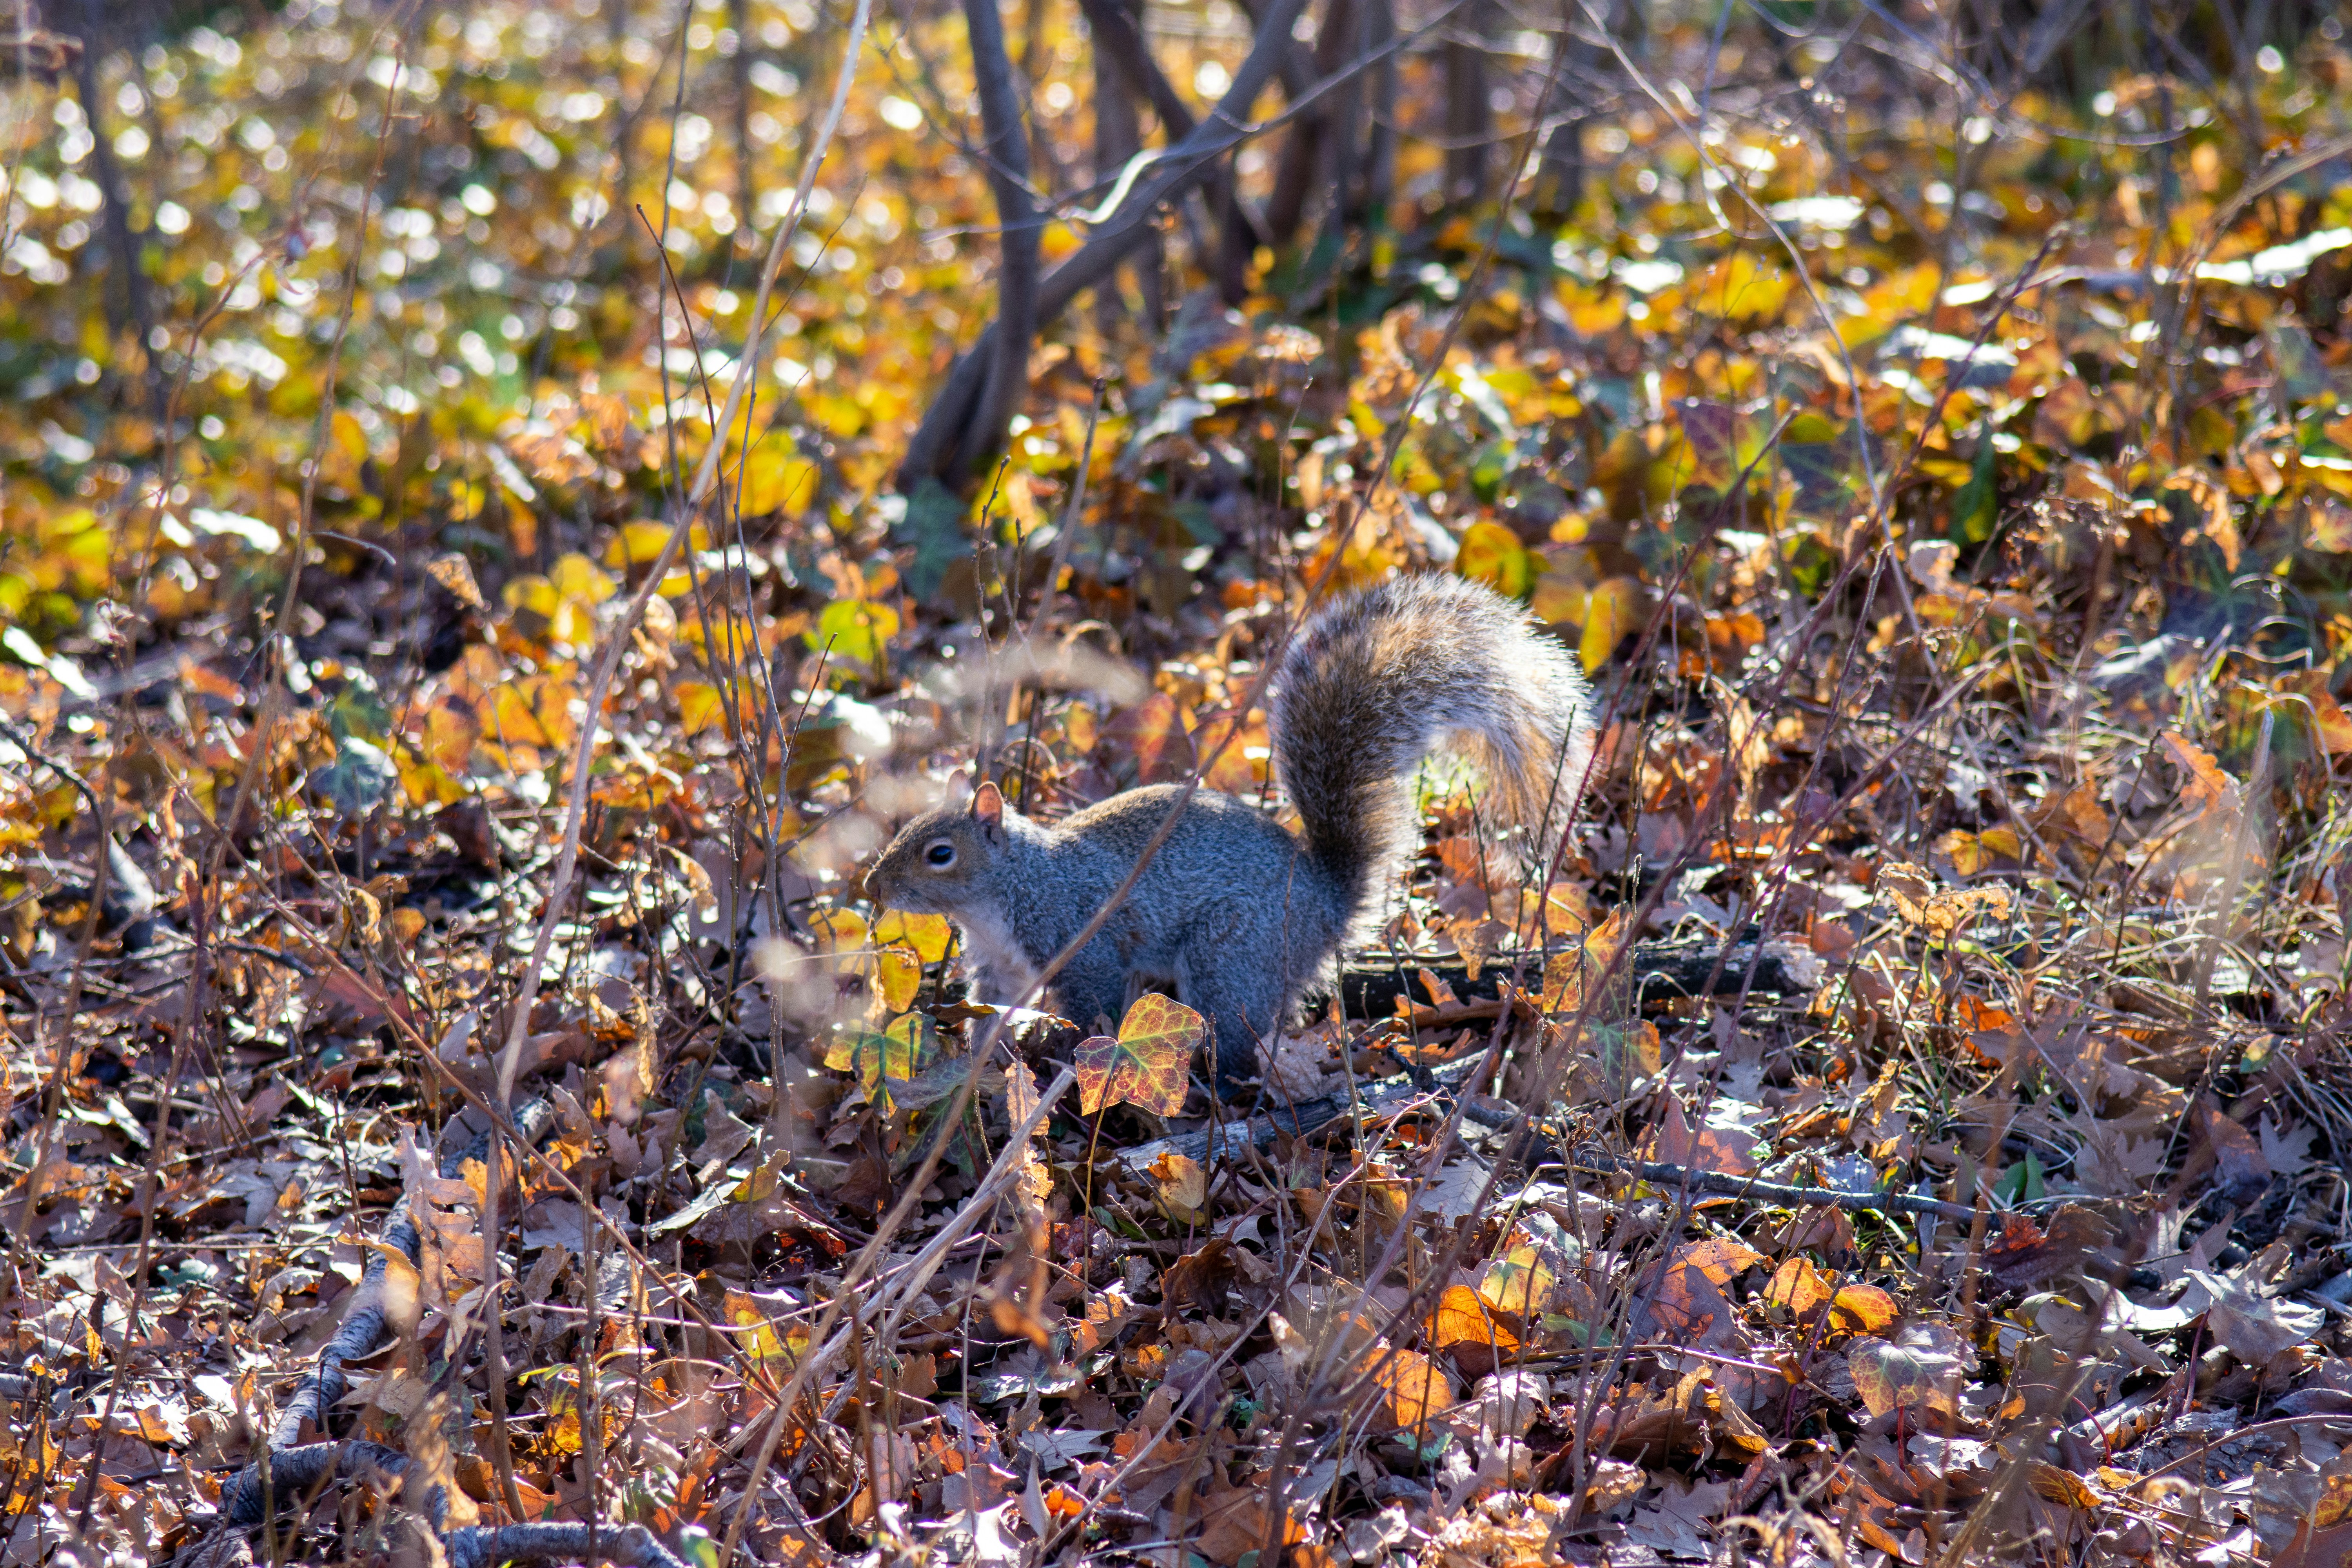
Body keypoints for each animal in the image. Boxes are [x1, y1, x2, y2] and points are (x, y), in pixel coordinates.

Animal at [863, 574, 1596, 1099]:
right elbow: (991, 1006)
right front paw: (977, 1047)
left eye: (939, 854)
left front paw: (1076, 1053)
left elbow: (1094, 1006)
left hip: (1231, 956)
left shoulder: (1078, 934)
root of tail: (1326, 901)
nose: (872, 885)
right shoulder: (999, 962)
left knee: (1240, 1039)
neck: (1001, 895)